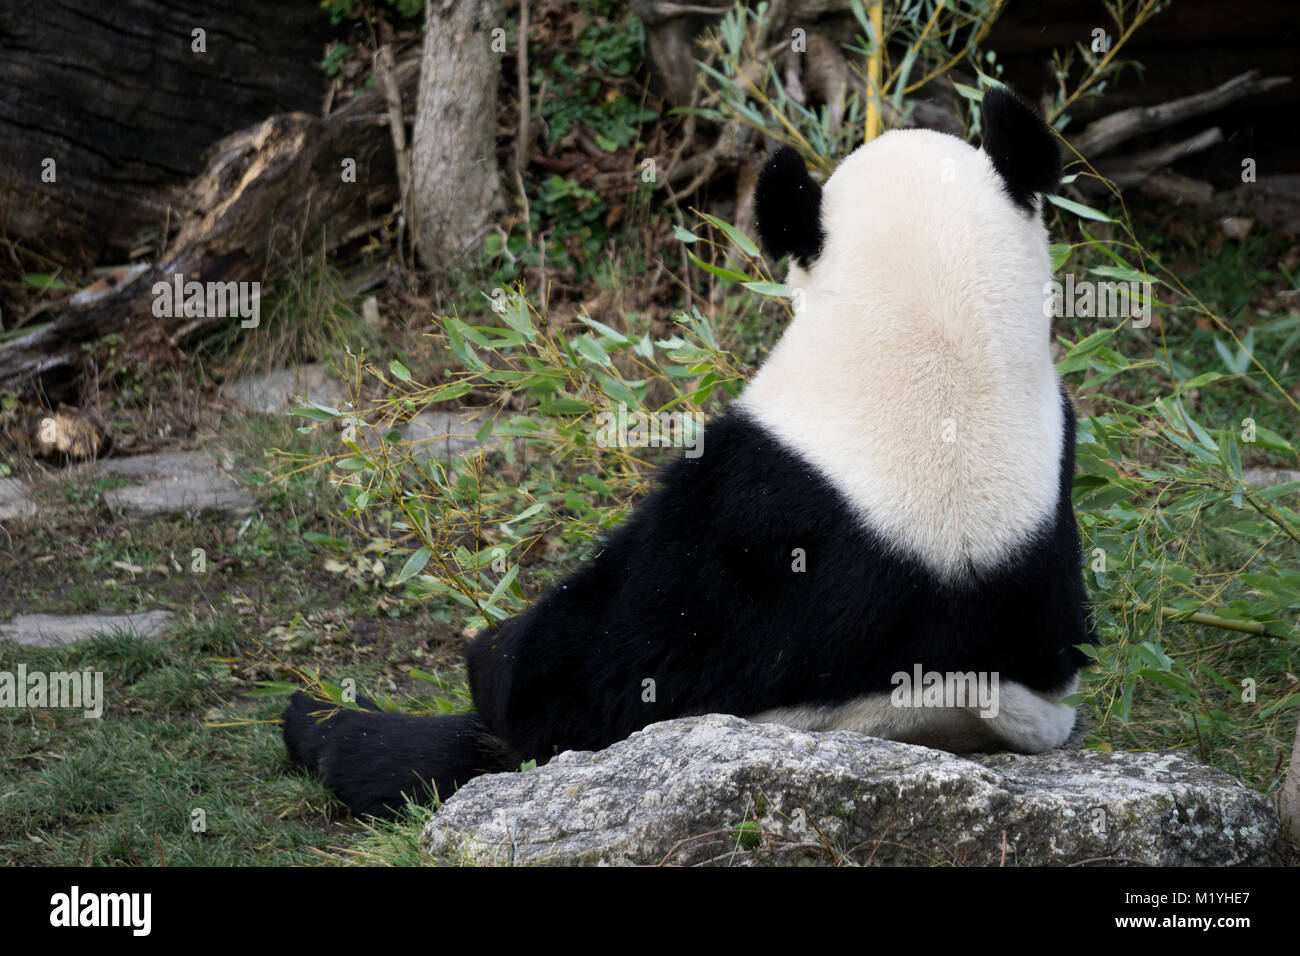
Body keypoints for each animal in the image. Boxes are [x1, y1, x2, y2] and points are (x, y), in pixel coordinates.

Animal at [282, 85, 1093, 819]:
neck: (938, 355)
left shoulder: (738, 514)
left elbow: (576, 671)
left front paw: (492, 655)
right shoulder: (1054, 484)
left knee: (438, 749)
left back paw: (316, 723)